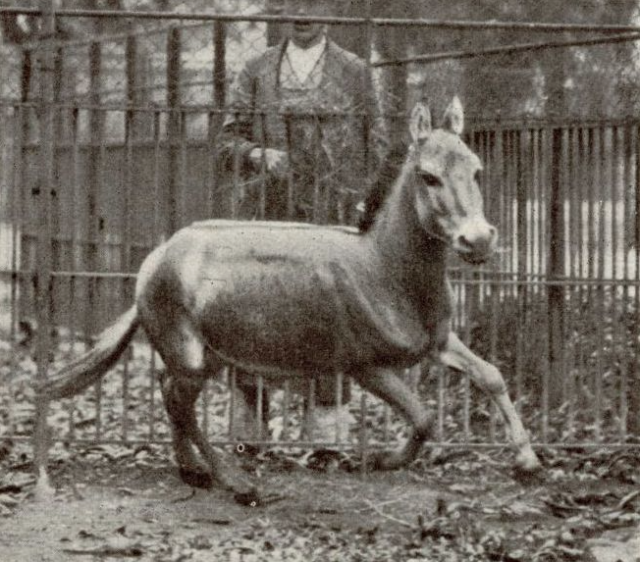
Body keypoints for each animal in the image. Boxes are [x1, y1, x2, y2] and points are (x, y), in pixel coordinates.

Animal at [40, 98, 542, 505]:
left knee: (170, 394)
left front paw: (528, 462)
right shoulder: (366, 366)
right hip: (191, 357)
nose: (478, 241)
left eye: (476, 170)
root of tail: (156, 258)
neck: (383, 269)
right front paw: (379, 461)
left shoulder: (438, 343)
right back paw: (237, 483)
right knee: (179, 403)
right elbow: (423, 418)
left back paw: (194, 471)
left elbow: (492, 376)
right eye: (429, 176)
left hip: (209, 355)